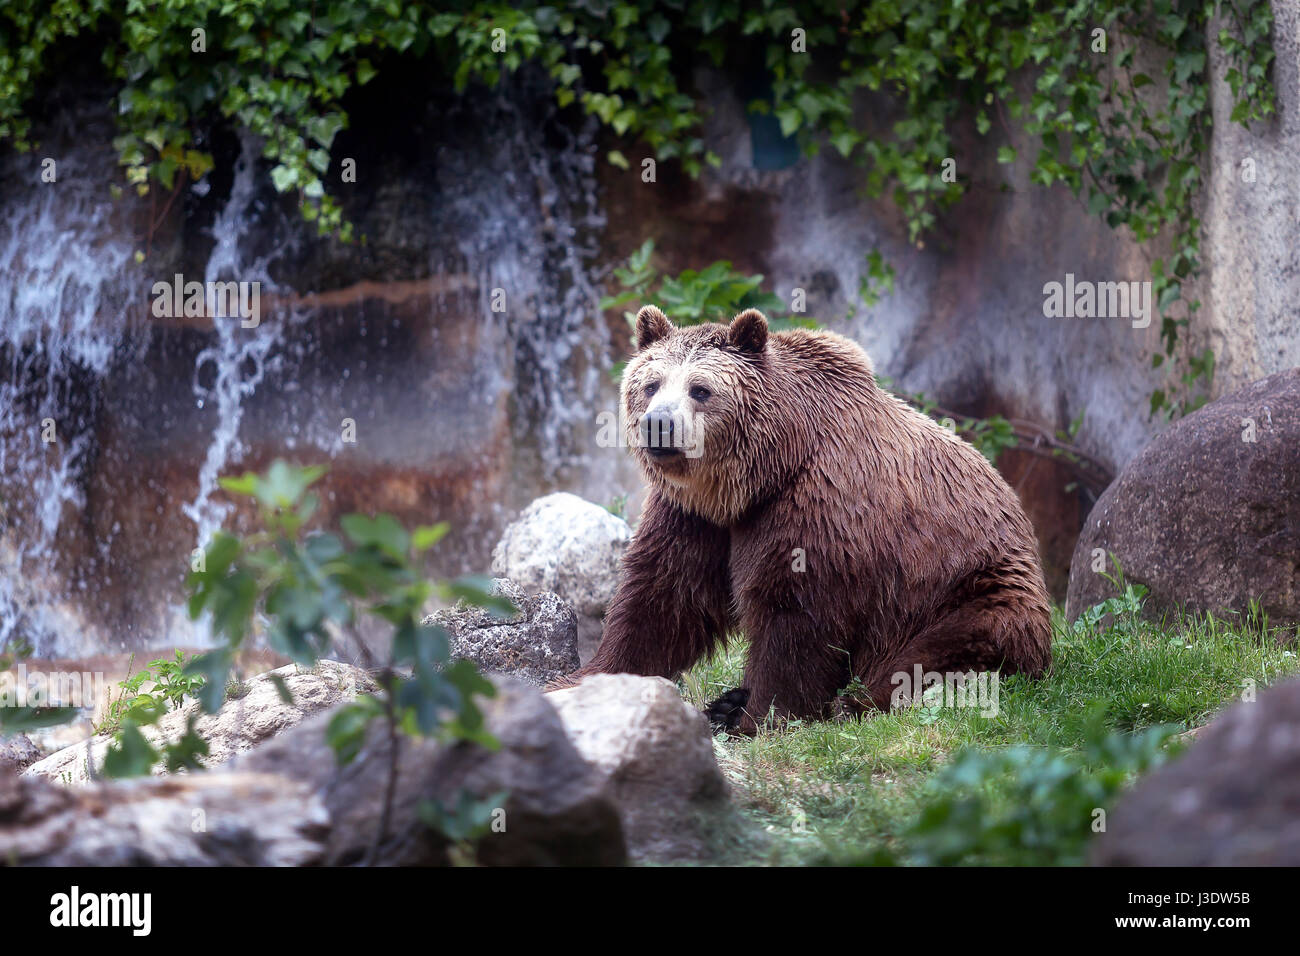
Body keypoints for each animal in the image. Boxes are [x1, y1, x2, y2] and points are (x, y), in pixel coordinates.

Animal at [561, 304, 1052, 734]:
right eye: (651, 383)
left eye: (700, 389)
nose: (659, 424)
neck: (762, 476)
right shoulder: (694, 517)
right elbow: (662, 596)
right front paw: (588, 678)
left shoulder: (817, 505)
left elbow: (796, 613)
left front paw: (762, 718)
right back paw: (727, 702)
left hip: (971, 588)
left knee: (943, 653)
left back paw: (847, 703)